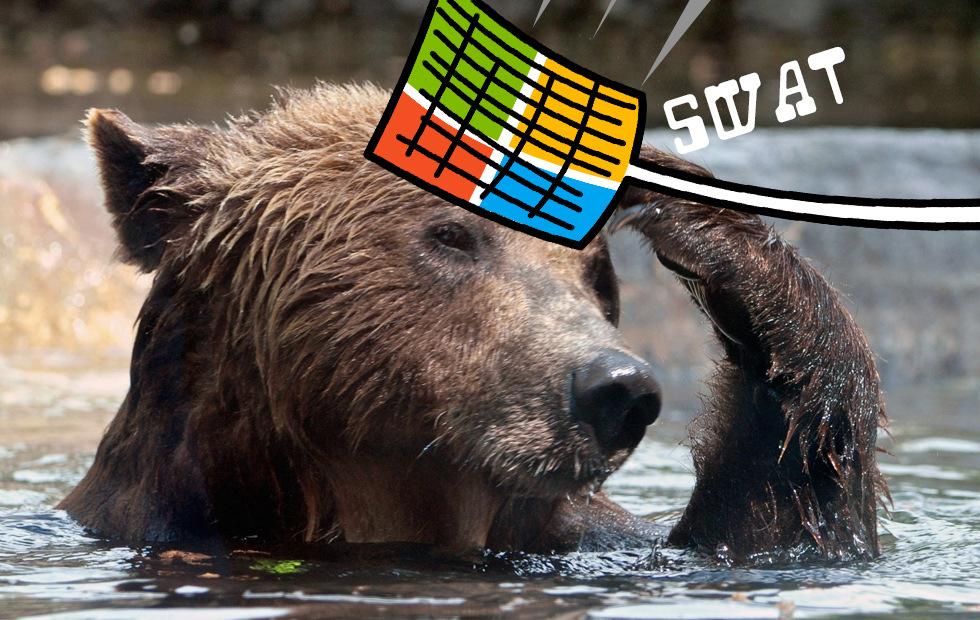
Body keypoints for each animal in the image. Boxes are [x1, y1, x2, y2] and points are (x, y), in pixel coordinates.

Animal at [59, 83, 885, 562]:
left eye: (593, 272)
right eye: (452, 235)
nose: (617, 387)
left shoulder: (596, 544)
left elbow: (768, 529)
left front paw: (687, 203)